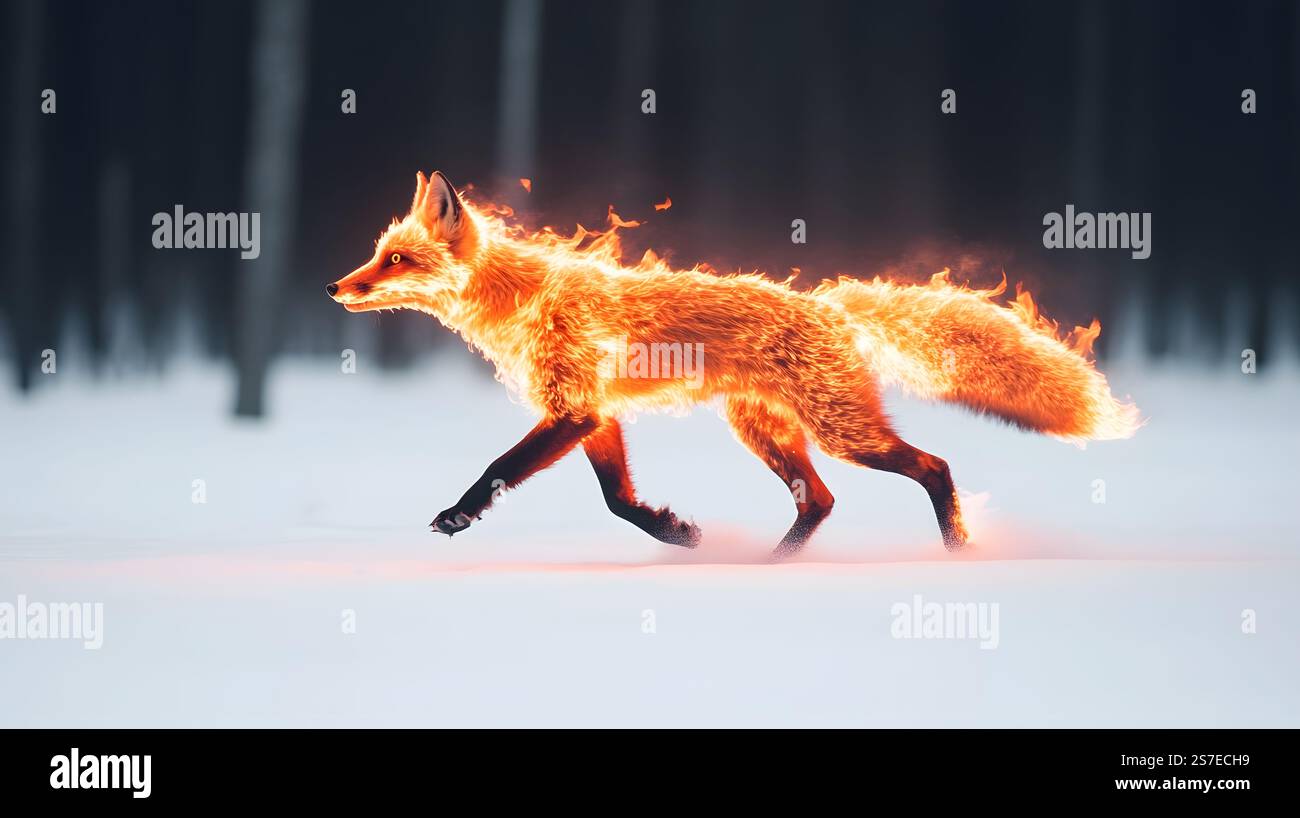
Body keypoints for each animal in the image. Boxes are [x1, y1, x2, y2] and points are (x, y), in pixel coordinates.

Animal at [327, 171, 1140, 558]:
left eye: (397, 260)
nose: (336, 288)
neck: (523, 301)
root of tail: (830, 304)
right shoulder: (593, 413)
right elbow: (620, 503)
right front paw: (680, 535)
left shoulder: (572, 409)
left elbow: (499, 468)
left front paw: (459, 515)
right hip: (764, 432)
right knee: (821, 502)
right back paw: (768, 565)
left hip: (843, 432)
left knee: (933, 468)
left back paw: (956, 551)